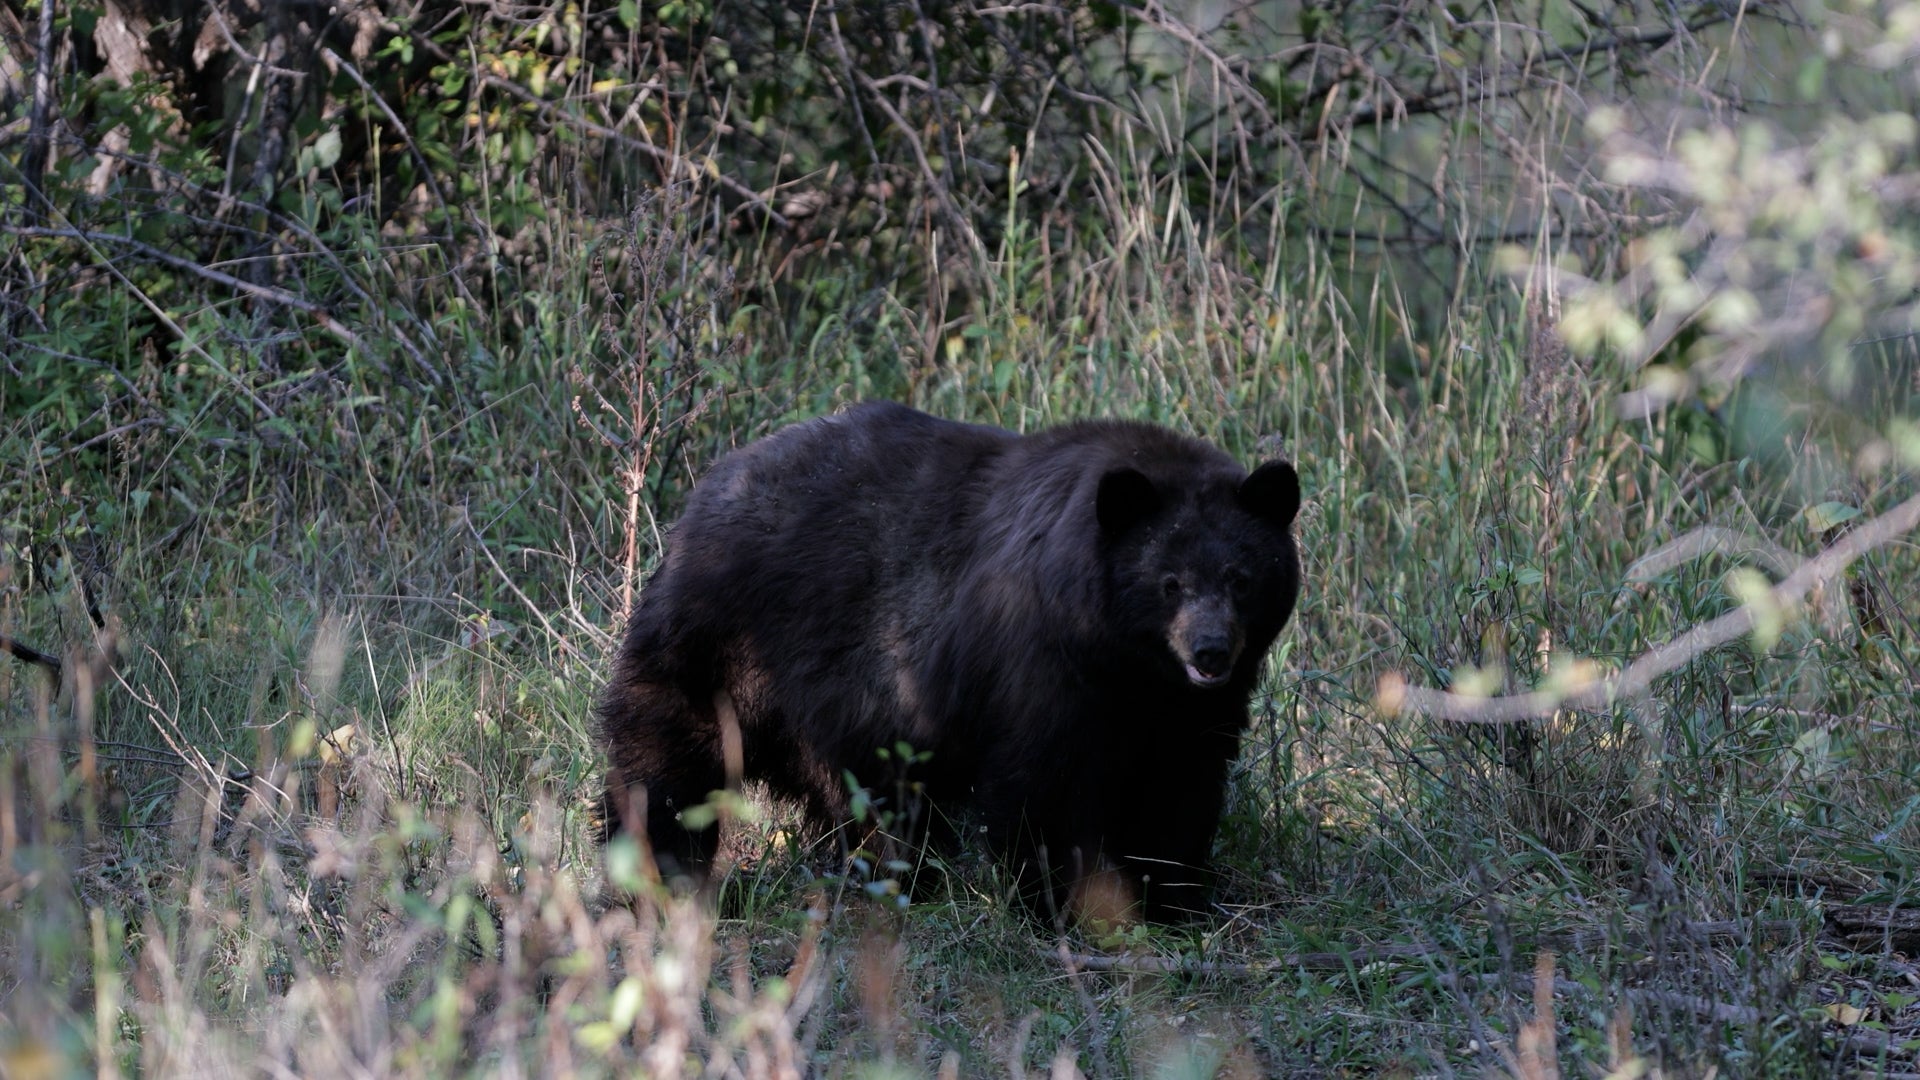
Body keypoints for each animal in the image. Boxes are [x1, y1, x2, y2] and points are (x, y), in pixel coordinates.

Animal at [598, 401, 1301, 922]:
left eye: (1241, 578)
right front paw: (1063, 905)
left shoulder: (1188, 709)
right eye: (1170, 583)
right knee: (667, 756)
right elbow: (1044, 783)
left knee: (864, 798)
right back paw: (655, 875)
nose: (1211, 650)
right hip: (717, 641)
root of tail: (706, 490)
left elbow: (1181, 782)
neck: (1126, 662)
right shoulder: (1039, 660)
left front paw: (1173, 898)